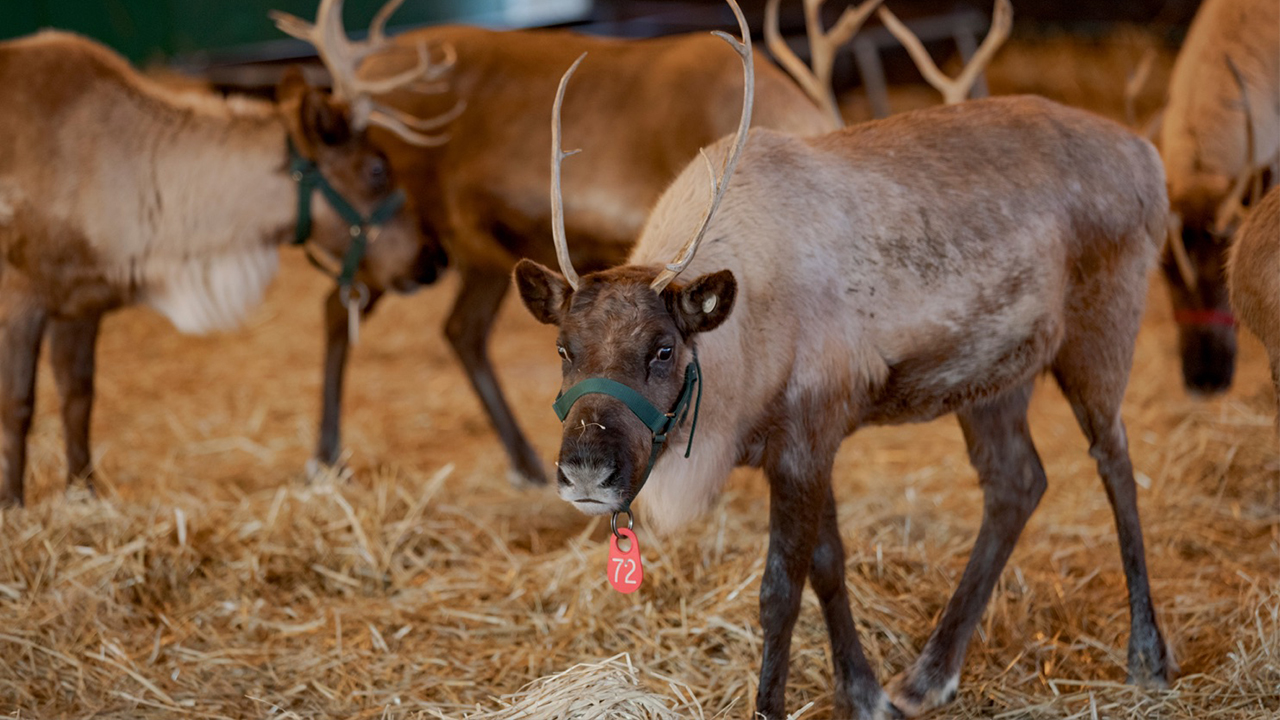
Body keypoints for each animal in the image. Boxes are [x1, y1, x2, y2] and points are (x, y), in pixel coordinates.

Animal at [0, 22, 453, 507]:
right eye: (376, 169)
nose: (434, 256)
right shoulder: (20, 298)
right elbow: (17, 405)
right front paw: (13, 503)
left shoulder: (81, 302)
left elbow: (79, 396)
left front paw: (84, 494)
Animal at [269, 0, 833, 484]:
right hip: (397, 251)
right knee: (338, 309)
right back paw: (325, 458)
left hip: (482, 256)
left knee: (460, 329)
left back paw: (525, 464)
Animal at [513, 0, 1174, 716]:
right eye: (563, 348)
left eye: (662, 349)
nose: (585, 468)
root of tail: (1147, 156)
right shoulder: (807, 440)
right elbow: (828, 565)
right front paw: (864, 692)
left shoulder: (805, 439)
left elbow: (780, 591)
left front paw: (777, 702)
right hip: (997, 376)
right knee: (1017, 483)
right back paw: (930, 673)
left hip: (1100, 328)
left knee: (1116, 462)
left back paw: (1147, 654)